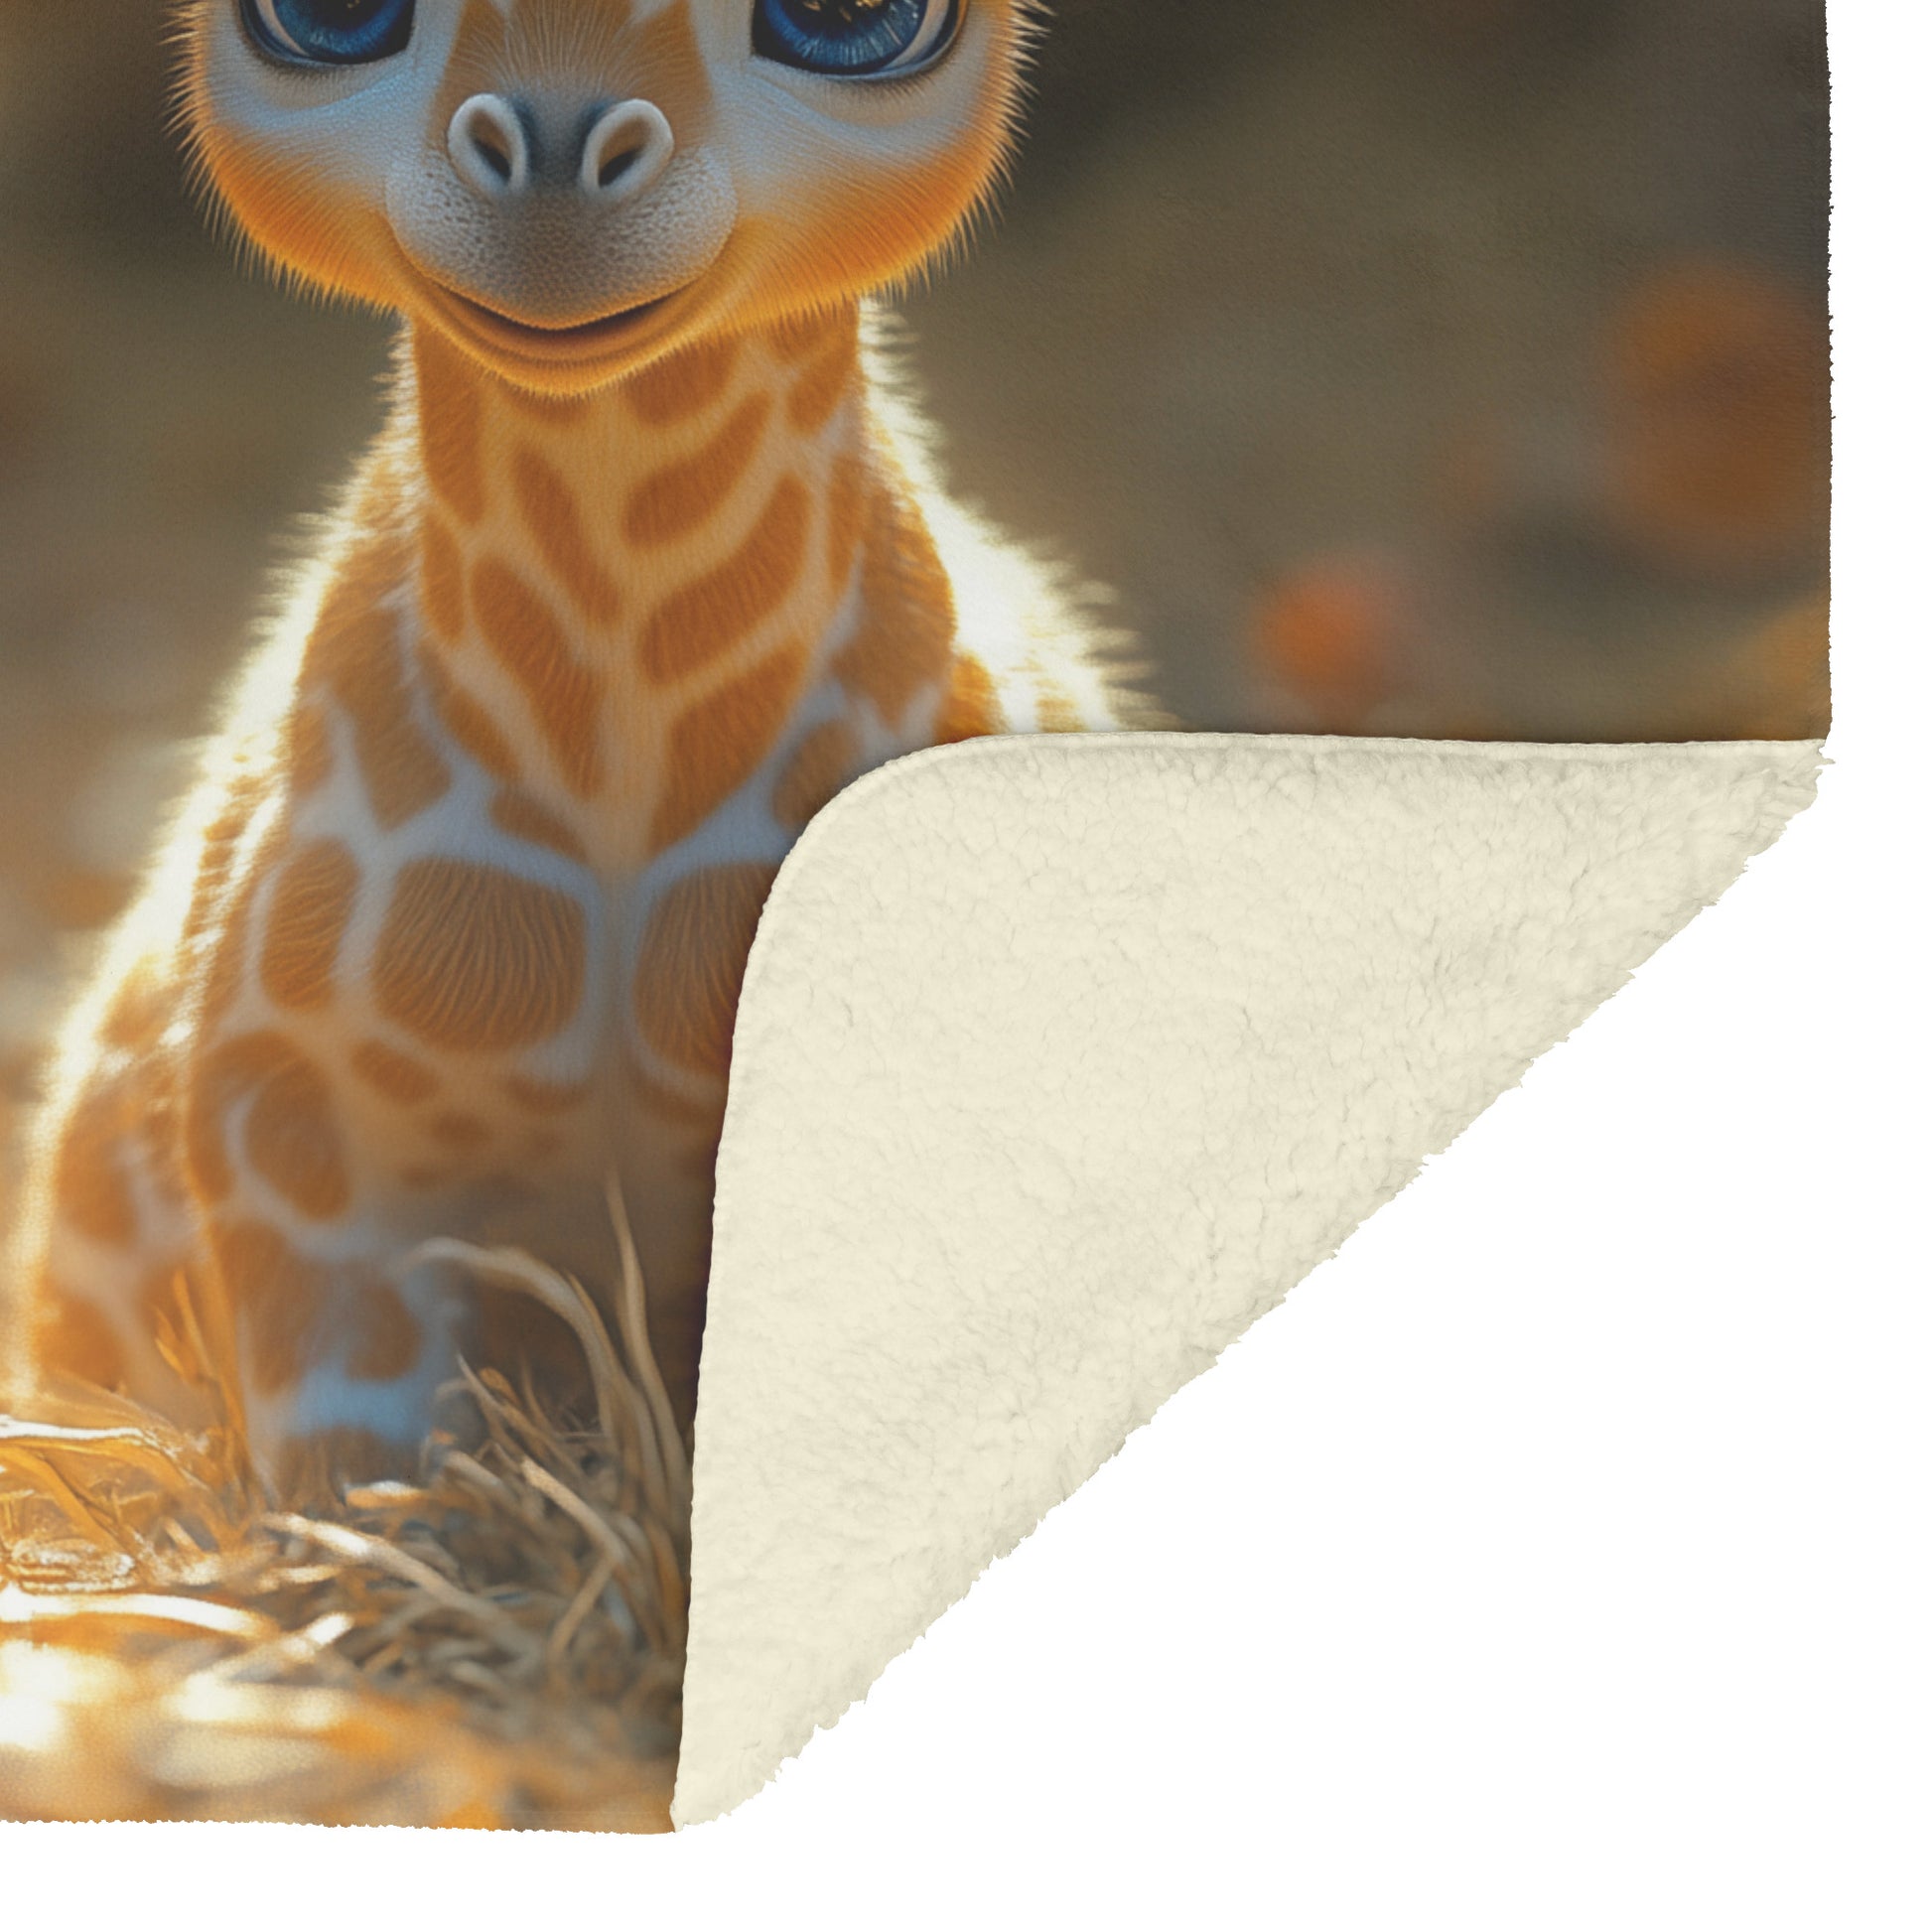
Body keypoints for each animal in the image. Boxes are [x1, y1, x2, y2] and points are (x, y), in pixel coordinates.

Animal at [1, 0, 1141, 1484]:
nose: (550, 166)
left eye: (847, 19)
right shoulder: (298, 1139)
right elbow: (362, 1490)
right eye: (329, 15)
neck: (618, 751)